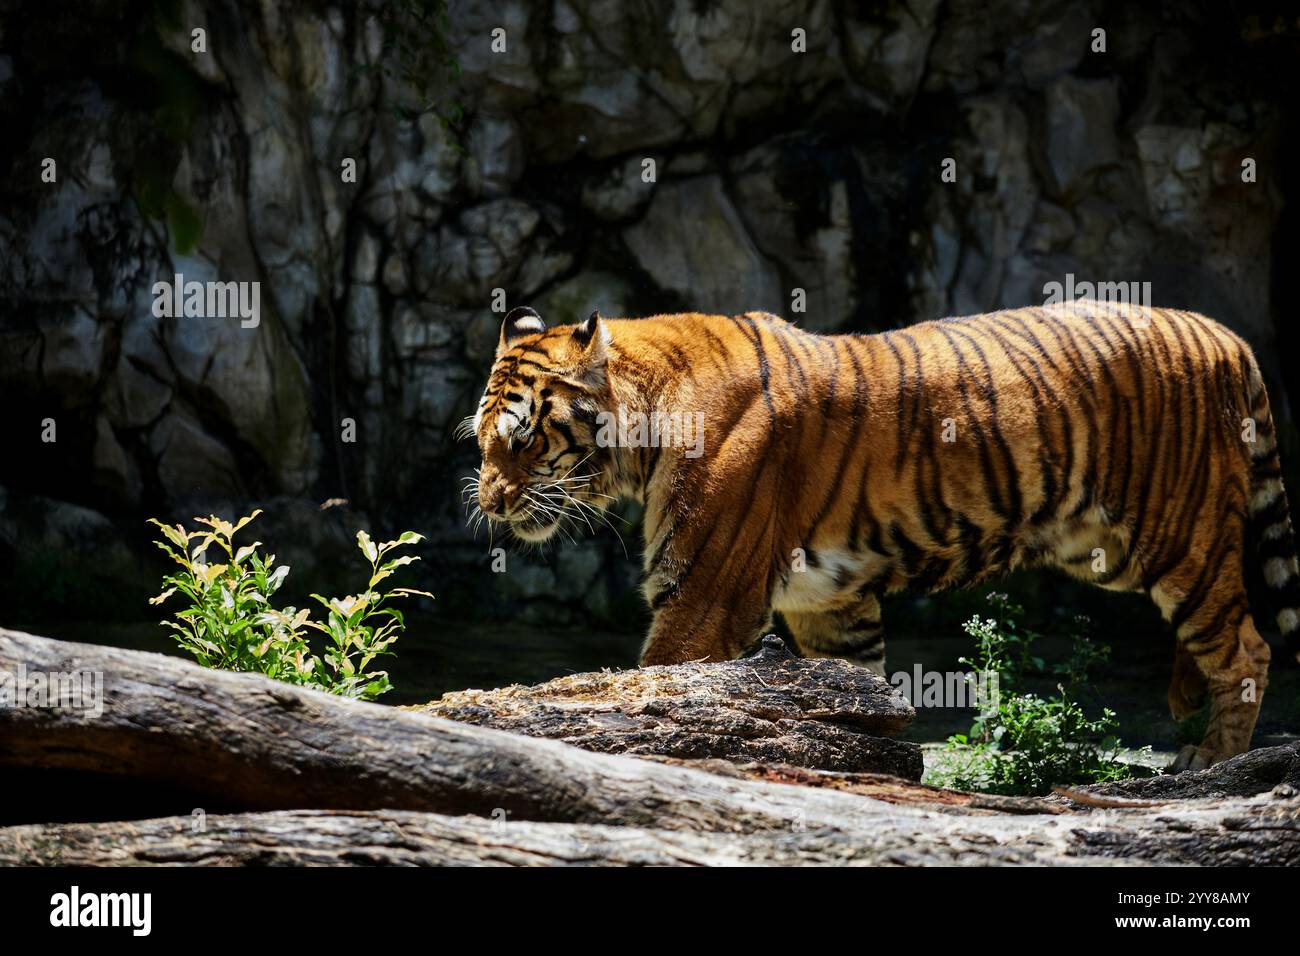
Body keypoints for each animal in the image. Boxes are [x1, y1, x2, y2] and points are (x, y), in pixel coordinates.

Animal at [464, 301, 1300, 770]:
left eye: (524, 439)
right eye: (482, 443)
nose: (491, 503)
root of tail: (1225, 335)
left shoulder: (703, 595)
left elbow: (654, 686)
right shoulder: (827, 606)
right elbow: (857, 695)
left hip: (1178, 536)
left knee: (1247, 645)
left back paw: (1210, 757)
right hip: (1109, 547)